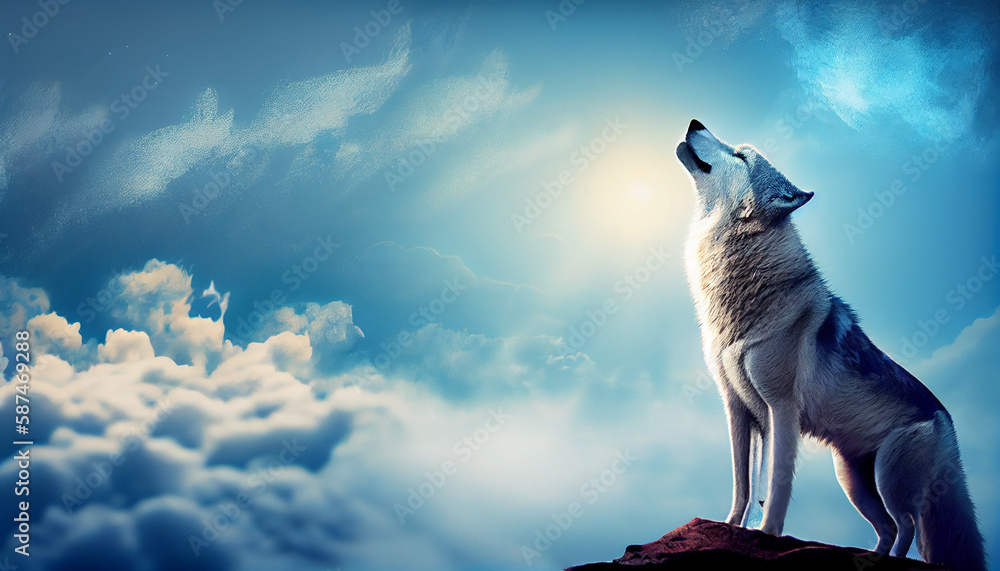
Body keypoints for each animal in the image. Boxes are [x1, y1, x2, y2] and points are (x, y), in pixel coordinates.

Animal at [676, 119, 986, 570]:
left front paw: (767, 535)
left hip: (887, 479)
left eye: (740, 155)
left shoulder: (781, 410)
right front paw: (731, 526)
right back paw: (865, 556)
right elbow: (743, 485)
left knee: (907, 526)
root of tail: (945, 418)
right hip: (853, 480)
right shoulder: (739, 410)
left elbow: (776, 485)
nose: (694, 123)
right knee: (889, 528)